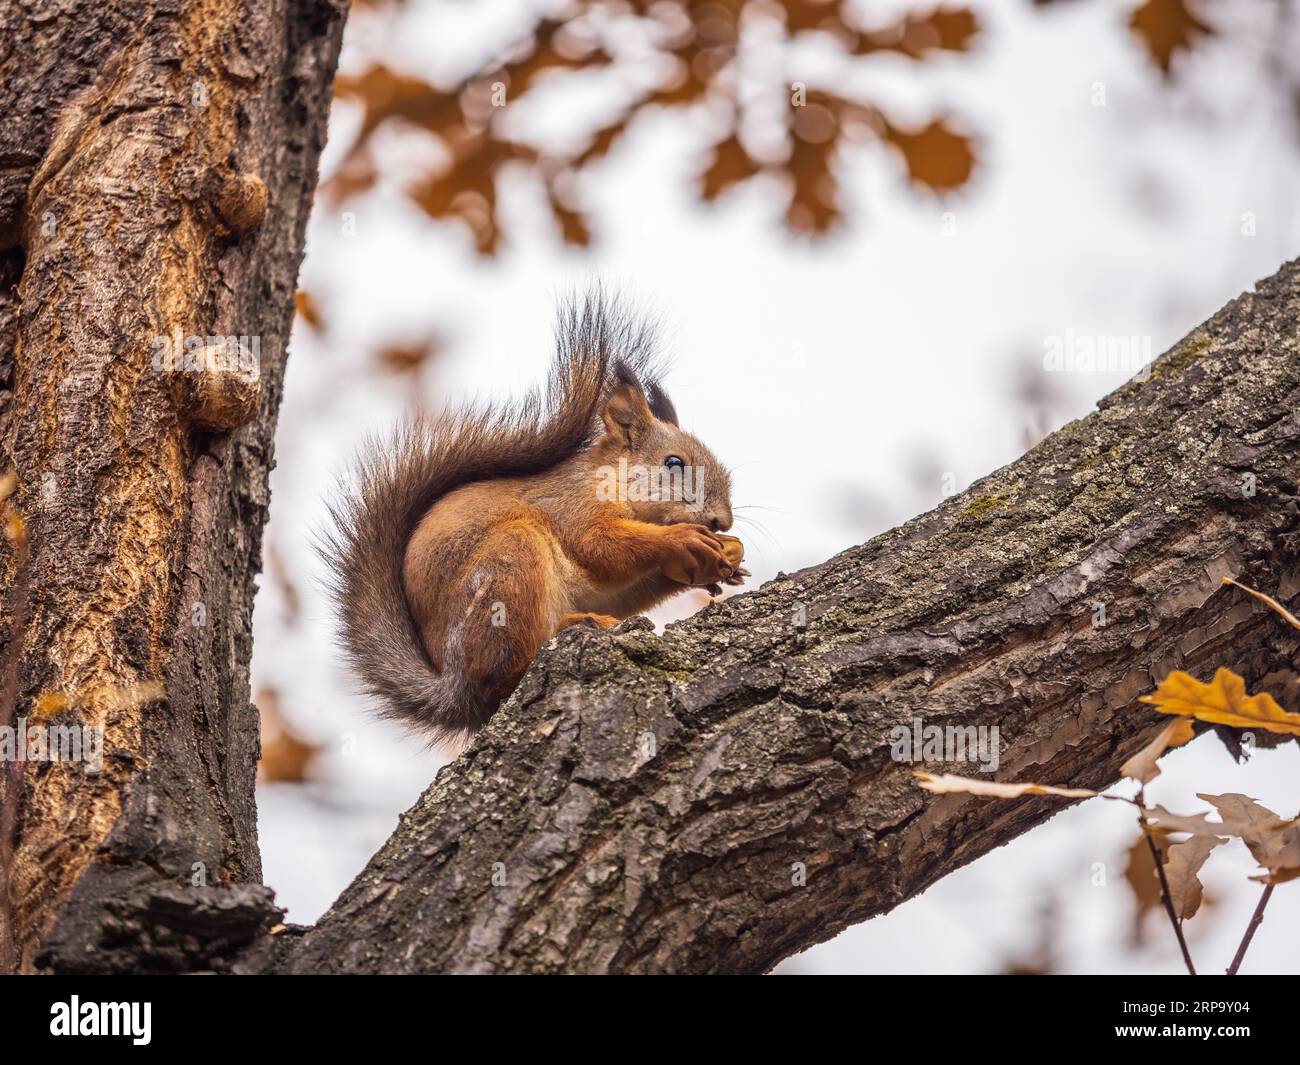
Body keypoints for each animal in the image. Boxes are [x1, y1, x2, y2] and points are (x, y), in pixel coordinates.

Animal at [323, 293, 747, 746]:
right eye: (673, 463)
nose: (722, 521)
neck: (608, 479)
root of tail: (454, 690)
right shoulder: (574, 507)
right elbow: (601, 546)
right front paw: (682, 539)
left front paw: (726, 560)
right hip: (509, 564)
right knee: (502, 678)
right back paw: (575, 625)